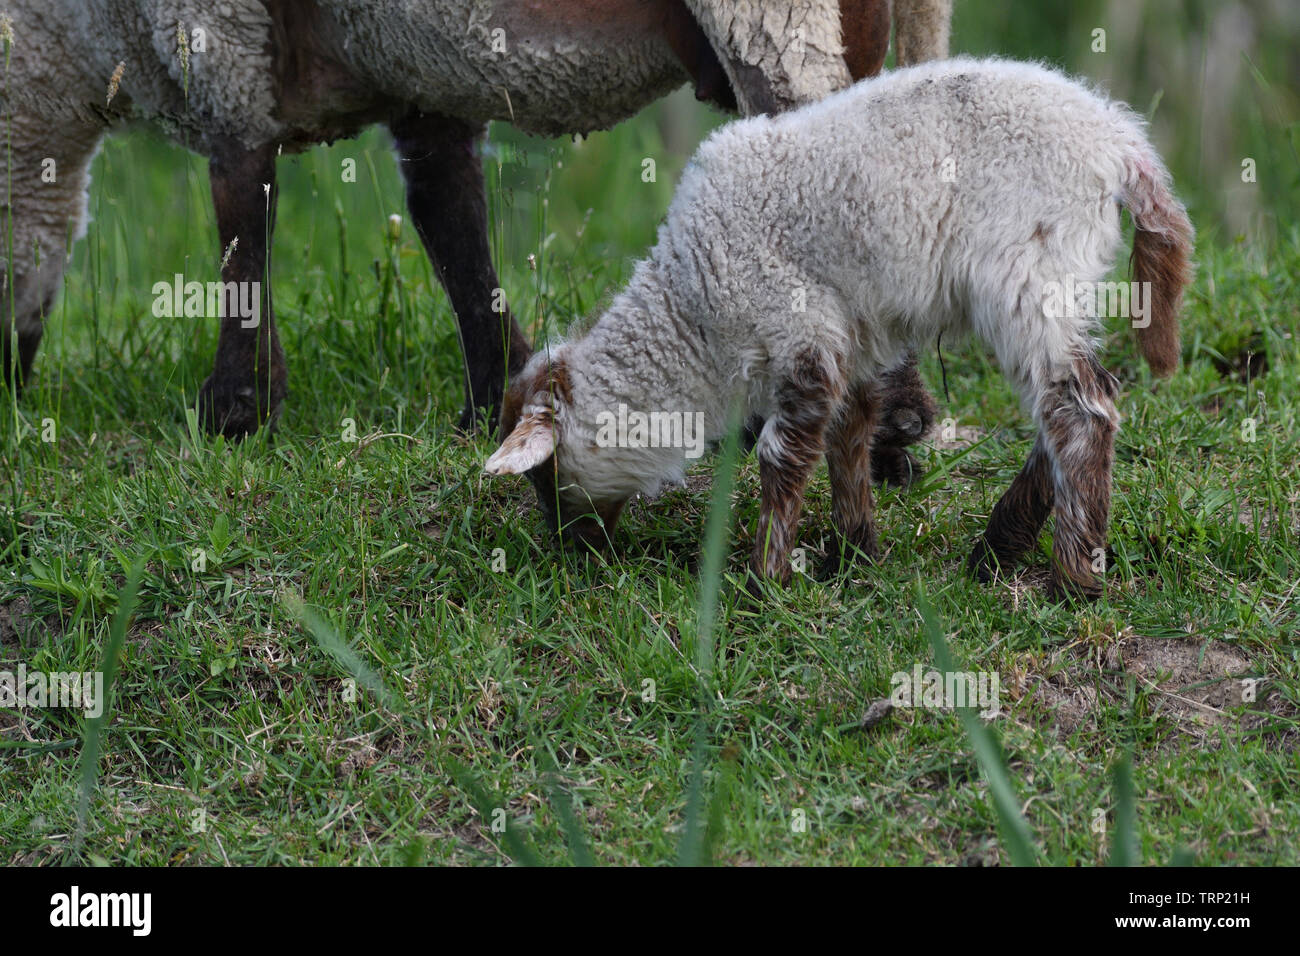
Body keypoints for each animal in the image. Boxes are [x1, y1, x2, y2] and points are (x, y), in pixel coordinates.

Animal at [0, 0, 949, 447]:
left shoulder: (216, 38)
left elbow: (242, 210)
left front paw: (236, 409)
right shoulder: (416, 73)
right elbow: (452, 225)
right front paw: (494, 391)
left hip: (777, 19)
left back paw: (881, 429)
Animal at [483, 57, 1195, 600]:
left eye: (543, 477)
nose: (571, 552)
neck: (692, 314)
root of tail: (1121, 145)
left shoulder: (800, 328)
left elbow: (783, 454)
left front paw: (765, 581)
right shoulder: (852, 335)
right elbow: (849, 434)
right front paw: (851, 554)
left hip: (1030, 274)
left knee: (1080, 409)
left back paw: (1071, 577)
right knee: (1069, 407)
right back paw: (998, 549)